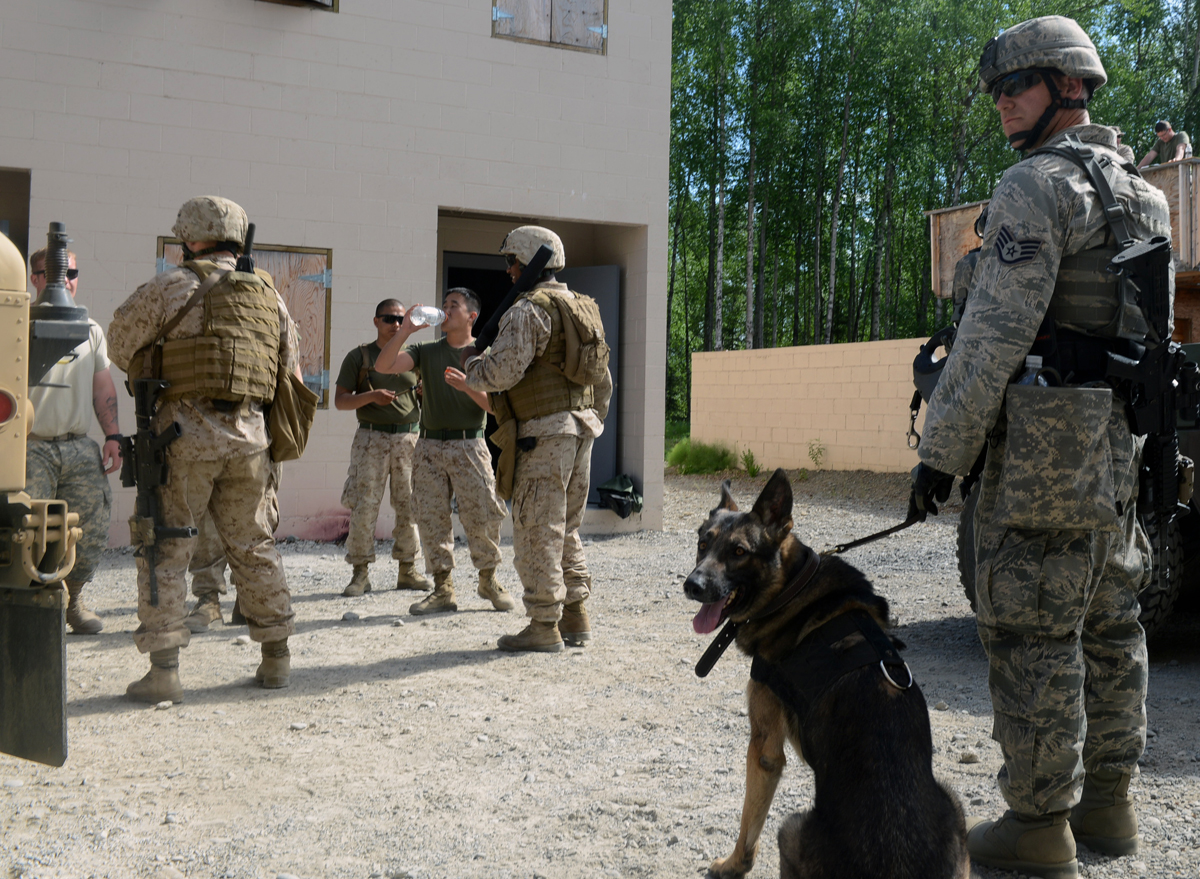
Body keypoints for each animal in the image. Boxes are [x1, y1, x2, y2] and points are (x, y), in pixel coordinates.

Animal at [681, 470, 969, 874]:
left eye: (738, 552)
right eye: (702, 544)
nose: (691, 585)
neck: (790, 588)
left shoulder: (764, 750)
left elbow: (748, 823)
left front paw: (733, 865)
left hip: (790, 829)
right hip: (956, 807)